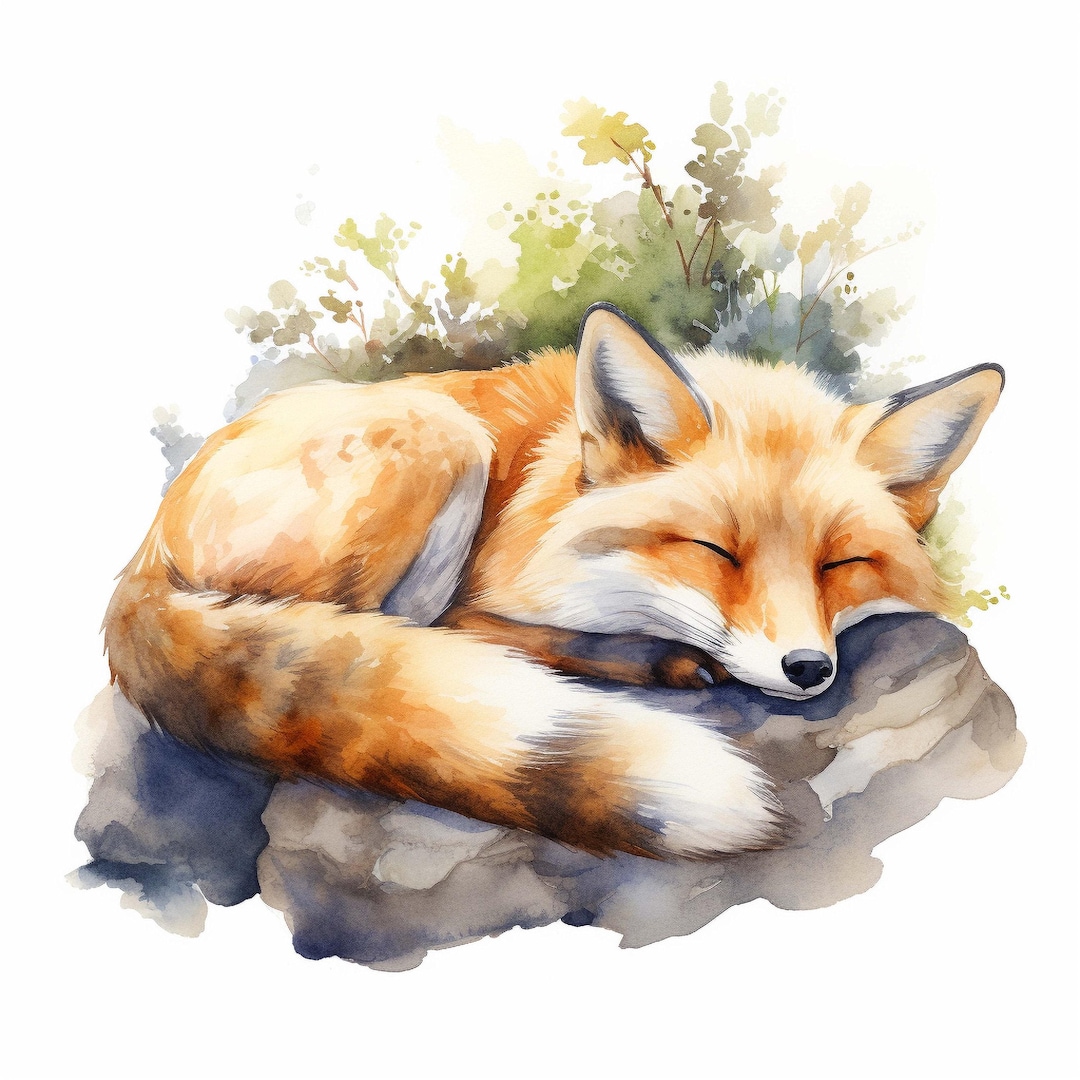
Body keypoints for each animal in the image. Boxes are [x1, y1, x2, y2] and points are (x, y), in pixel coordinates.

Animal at [104, 302, 1003, 860]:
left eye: (840, 563)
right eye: (715, 550)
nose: (809, 670)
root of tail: (143, 553)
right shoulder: (488, 572)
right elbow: (474, 619)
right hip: (441, 437)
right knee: (391, 634)